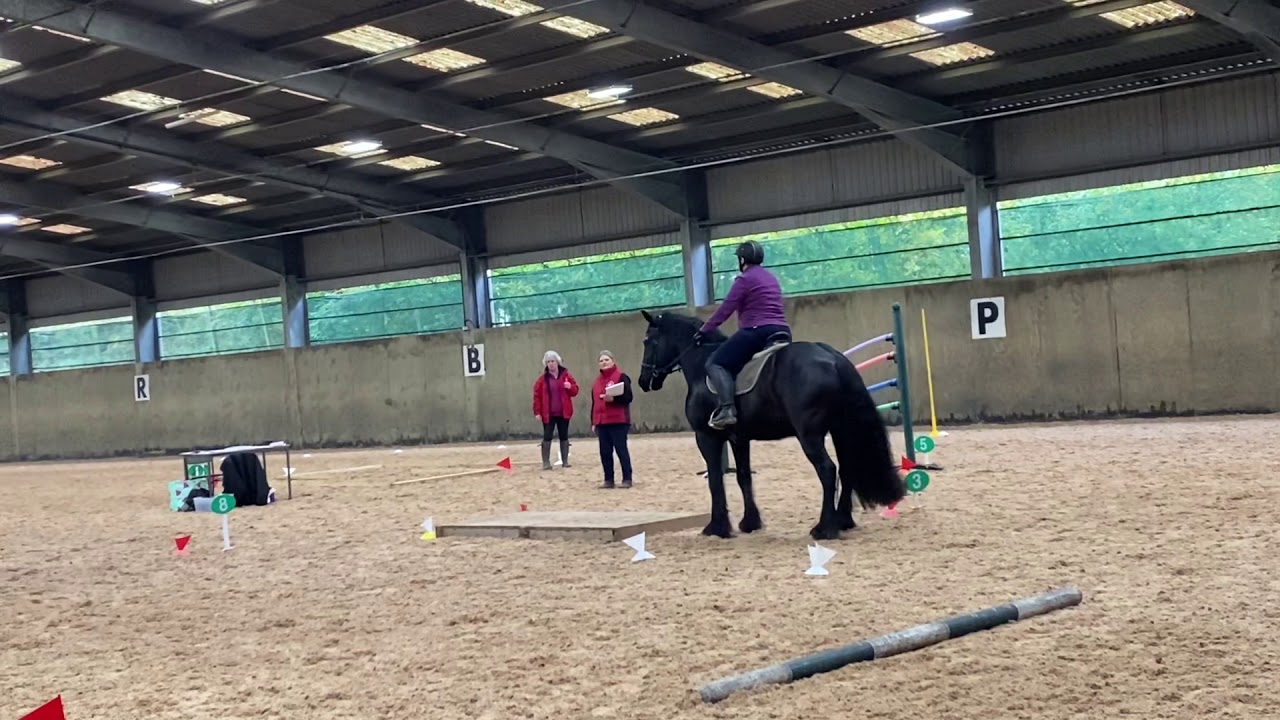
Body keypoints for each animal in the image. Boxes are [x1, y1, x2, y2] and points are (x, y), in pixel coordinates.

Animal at [635, 309, 905, 540]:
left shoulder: (706, 436)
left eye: (648, 341)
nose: (643, 381)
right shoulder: (739, 439)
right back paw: (843, 521)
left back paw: (824, 528)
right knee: (846, 468)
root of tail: (832, 357)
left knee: (827, 470)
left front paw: (717, 527)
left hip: (809, 434)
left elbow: (715, 480)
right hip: (840, 429)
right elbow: (743, 477)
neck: (702, 366)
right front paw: (750, 523)